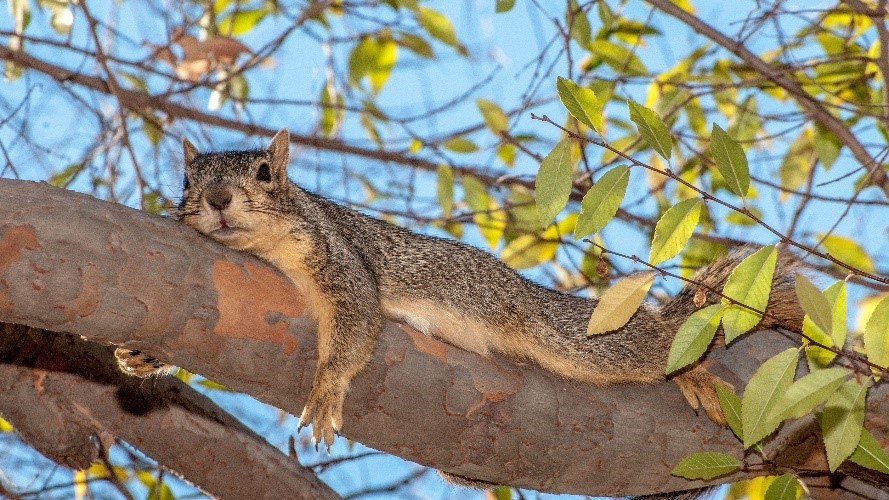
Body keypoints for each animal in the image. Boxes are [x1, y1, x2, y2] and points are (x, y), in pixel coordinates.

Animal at [115, 129, 805, 450]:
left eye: (265, 172)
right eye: (187, 179)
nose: (216, 199)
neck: (265, 253)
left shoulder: (342, 263)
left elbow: (355, 324)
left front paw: (327, 390)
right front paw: (143, 355)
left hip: (570, 337)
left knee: (647, 347)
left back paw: (690, 367)